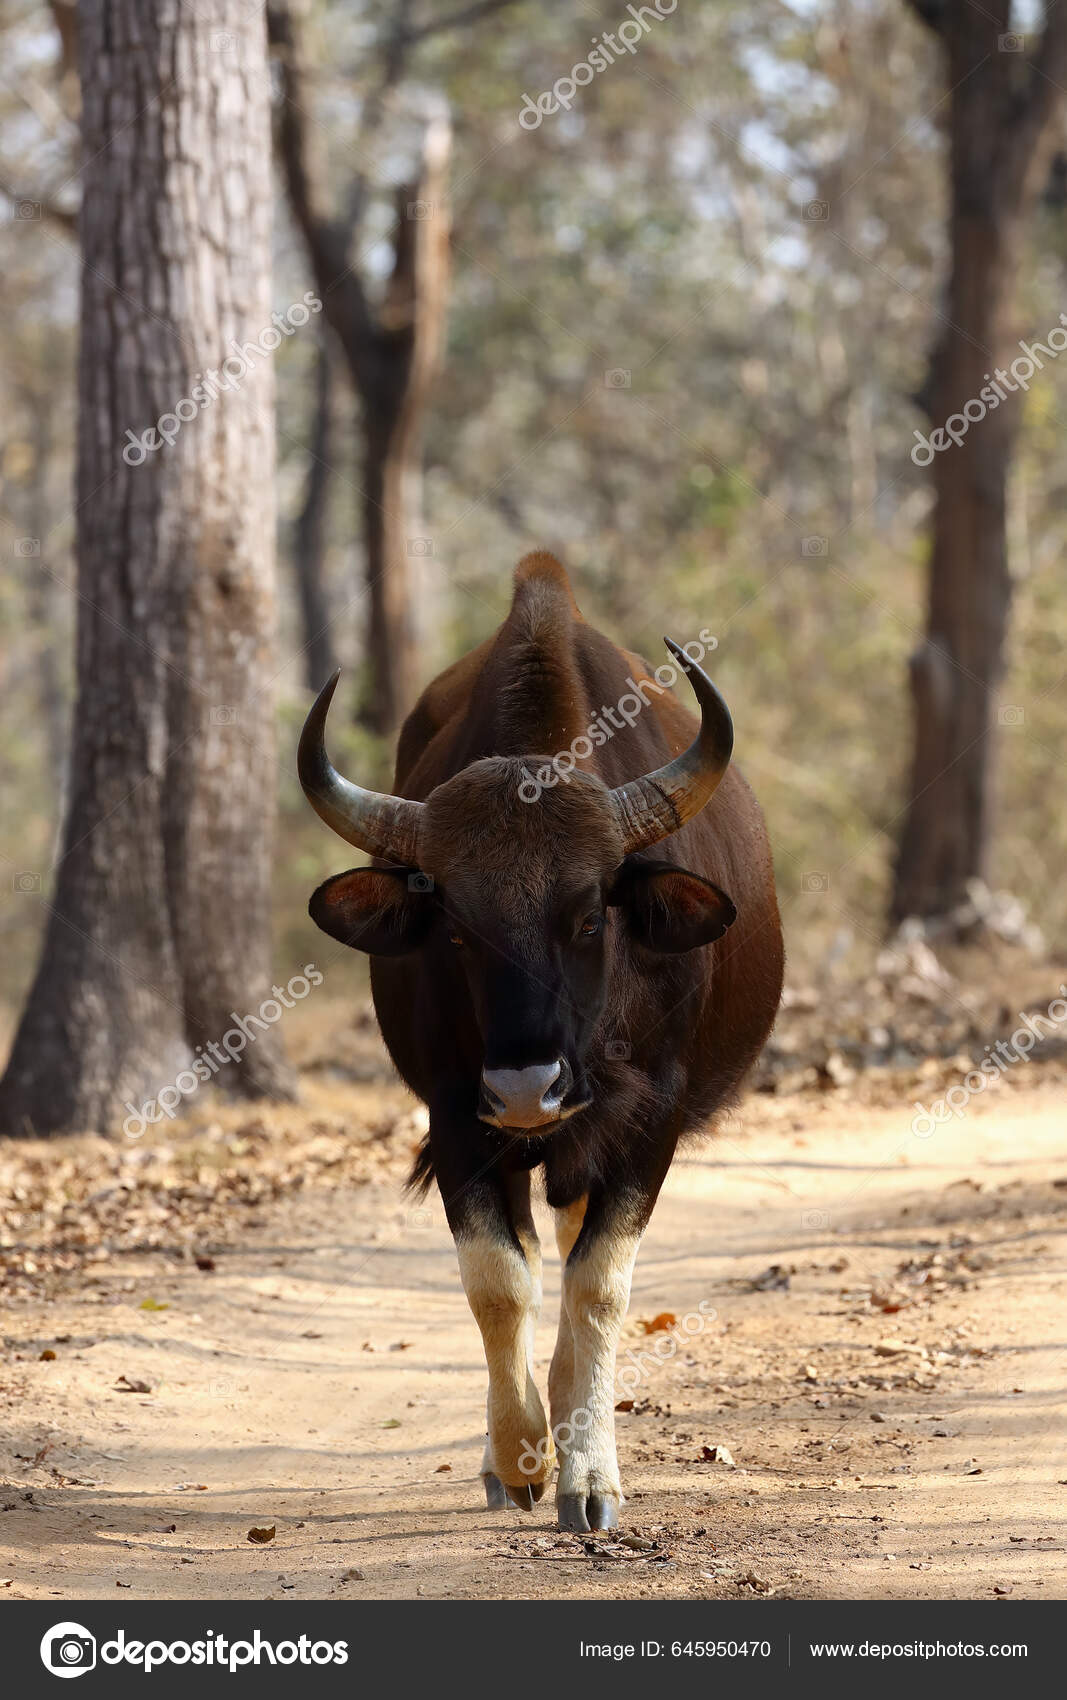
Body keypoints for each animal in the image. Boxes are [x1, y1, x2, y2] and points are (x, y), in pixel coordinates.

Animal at [299, 551, 783, 1532]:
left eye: (590, 915)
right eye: (454, 929)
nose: (528, 1088)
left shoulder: (651, 1118)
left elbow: (597, 1282)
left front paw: (588, 1471)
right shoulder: (455, 1113)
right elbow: (497, 1279)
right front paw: (519, 1454)